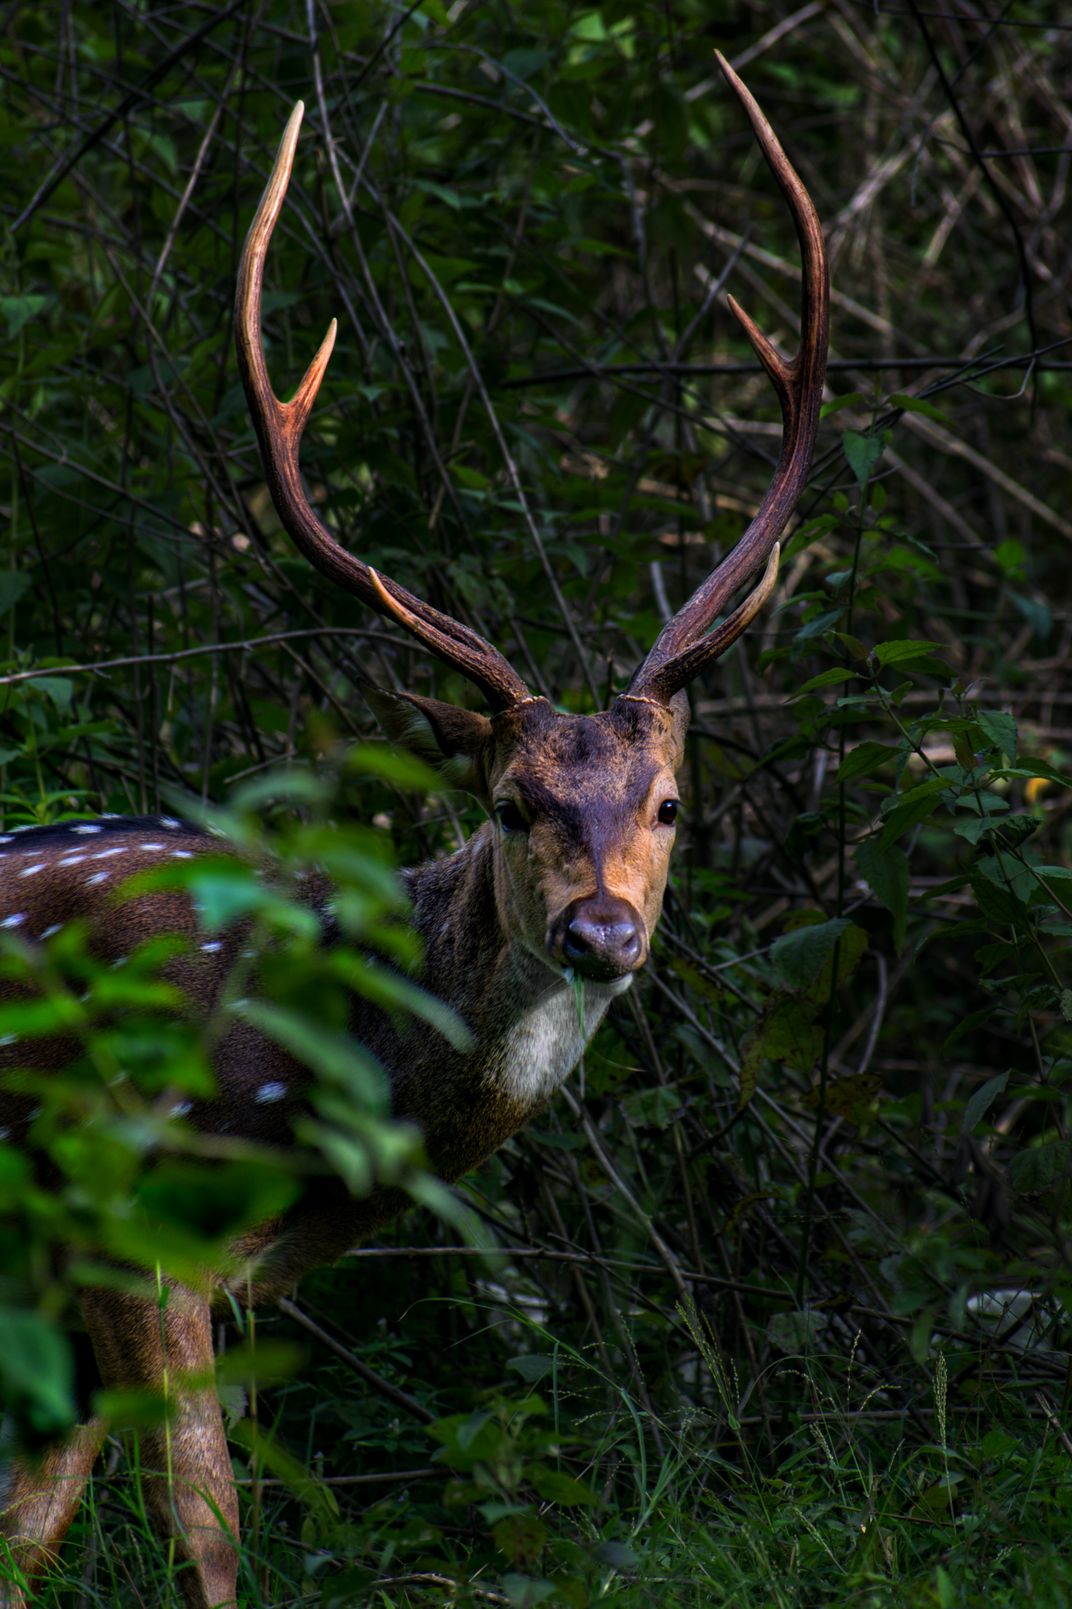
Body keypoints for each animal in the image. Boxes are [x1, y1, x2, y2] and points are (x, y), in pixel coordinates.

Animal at [0, 56, 827, 1609]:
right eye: (510, 802)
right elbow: (205, 1532)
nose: (600, 928)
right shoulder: (133, 1212)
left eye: (669, 803)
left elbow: (28, 1537)